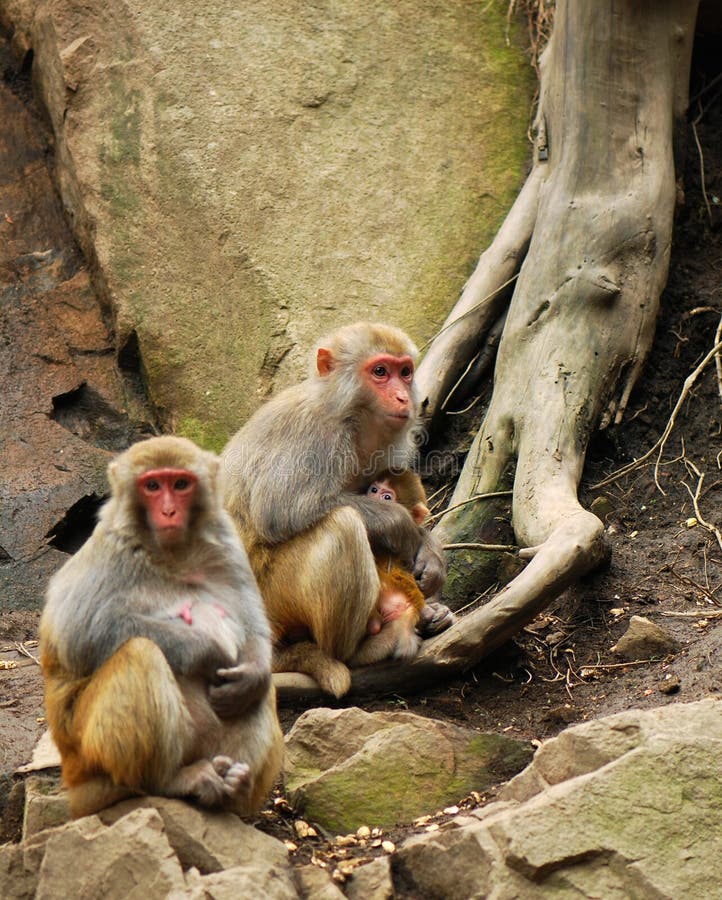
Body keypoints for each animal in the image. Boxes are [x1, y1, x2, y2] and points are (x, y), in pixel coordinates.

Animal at [40, 436, 283, 818]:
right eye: (152, 486)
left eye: (180, 484)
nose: (169, 511)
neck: (174, 552)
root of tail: (74, 783)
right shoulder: (110, 549)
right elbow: (77, 634)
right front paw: (207, 651)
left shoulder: (228, 542)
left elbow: (252, 626)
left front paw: (252, 673)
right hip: (87, 750)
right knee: (141, 652)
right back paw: (170, 781)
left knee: (259, 689)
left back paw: (236, 787)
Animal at [221, 321, 449, 697]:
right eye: (380, 372)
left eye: (405, 372)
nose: (403, 397)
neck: (350, 417)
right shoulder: (315, 435)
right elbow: (277, 510)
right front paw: (403, 527)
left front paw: (429, 552)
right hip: (273, 597)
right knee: (343, 525)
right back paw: (359, 650)